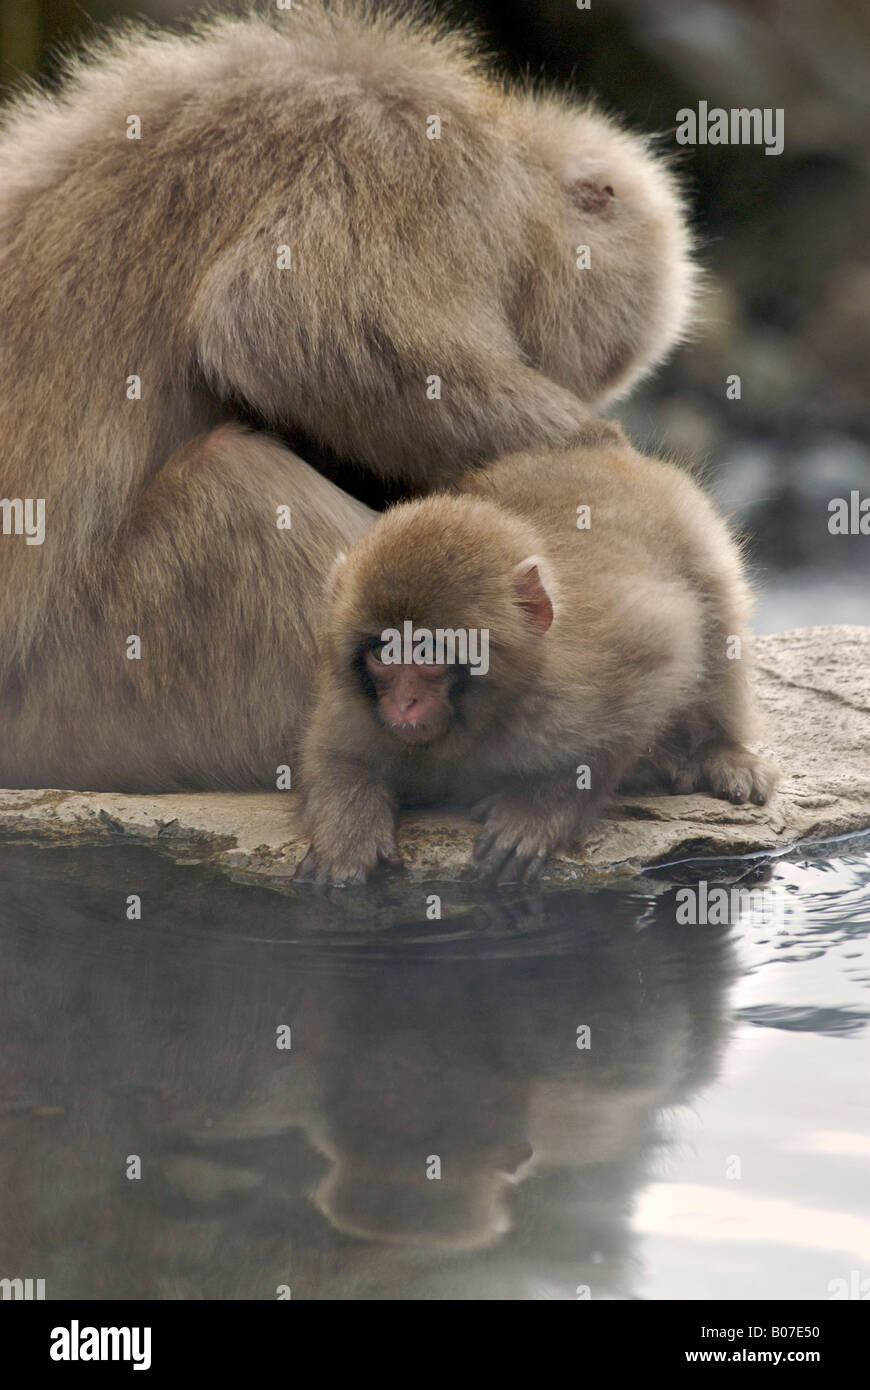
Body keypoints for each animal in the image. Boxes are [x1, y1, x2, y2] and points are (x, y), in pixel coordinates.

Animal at [296, 432, 777, 885]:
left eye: (427, 651)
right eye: (384, 651)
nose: (404, 703)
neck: (479, 721)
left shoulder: (592, 673)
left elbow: (659, 667)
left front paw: (540, 806)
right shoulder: (354, 704)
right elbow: (336, 752)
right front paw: (348, 826)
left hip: (693, 528)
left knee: (716, 607)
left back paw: (720, 749)